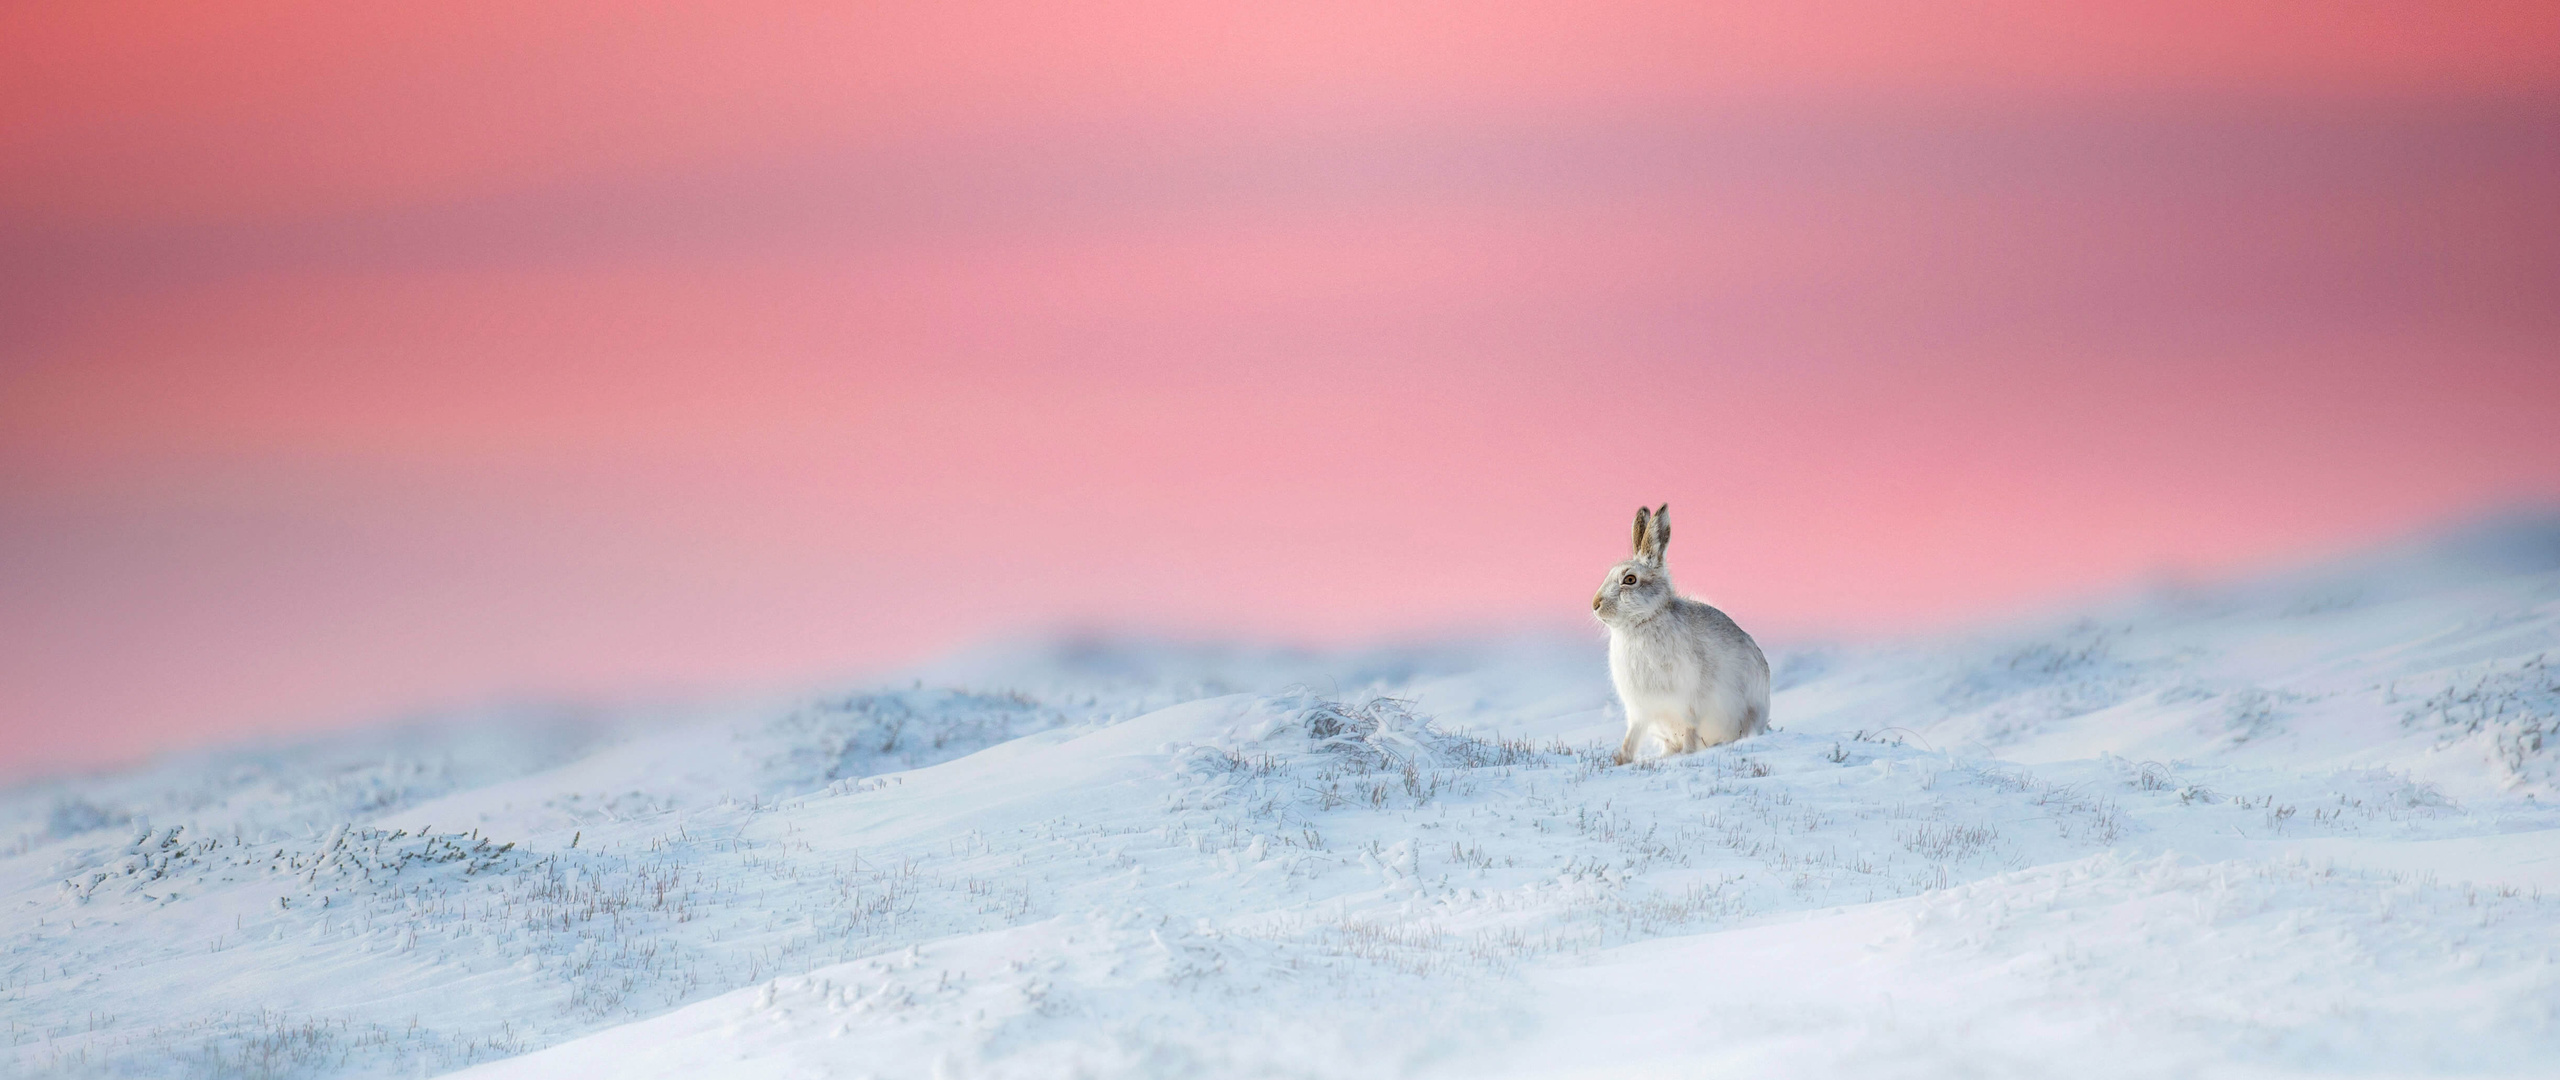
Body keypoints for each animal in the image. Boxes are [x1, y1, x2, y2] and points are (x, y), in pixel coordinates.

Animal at [1591, 505, 1770, 764]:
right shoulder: (1640, 712)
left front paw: (1687, 755)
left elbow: (1690, 732)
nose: (1595, 604)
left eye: (1630, 579)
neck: (1644, 622)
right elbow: (1631, 739)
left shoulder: (1689, 705)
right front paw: (1620, 761)